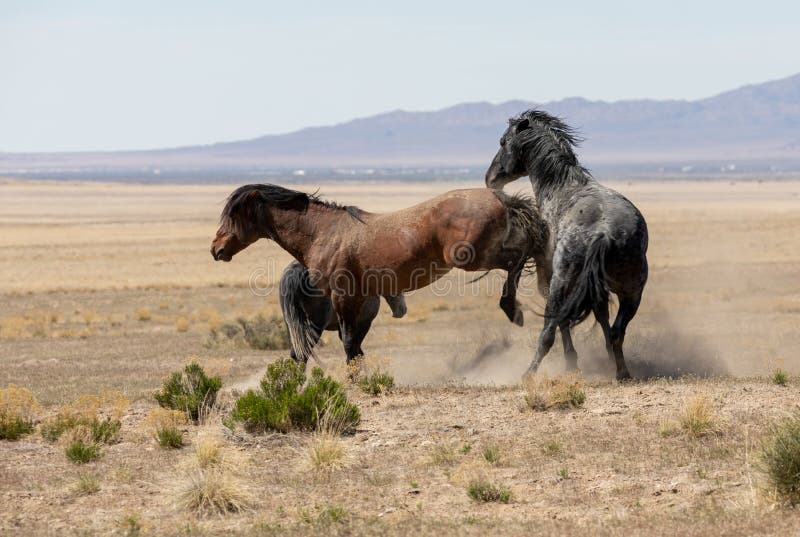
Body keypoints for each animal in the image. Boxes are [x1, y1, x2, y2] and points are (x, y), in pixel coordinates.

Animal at [279, 260, 407, 363]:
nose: (402, 310)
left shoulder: (344, 328)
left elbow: (356, 354)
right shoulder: (363, 324)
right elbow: (354, 355)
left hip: (293, 327)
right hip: (314, 327)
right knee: (302, 356)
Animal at [485, 110, 648, 380]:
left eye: (502, 141)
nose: (490, 178)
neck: (562, 186)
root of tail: (603, 232)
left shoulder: (550, 275)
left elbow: (561, 322)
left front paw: (572, 363)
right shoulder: (596, 286)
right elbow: (601, 313)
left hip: (563, 280)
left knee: (548, 330)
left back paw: (529, 373)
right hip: (632, 290)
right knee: (617, 331)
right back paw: (622, 372)